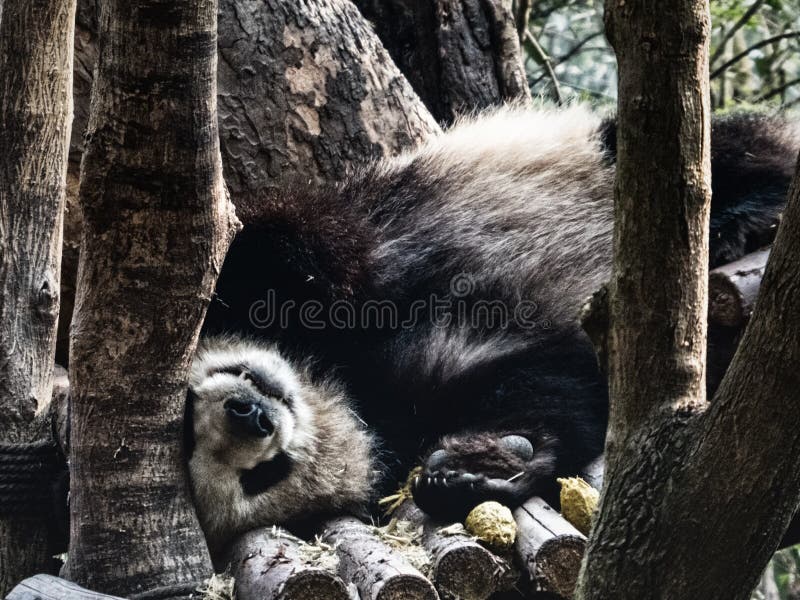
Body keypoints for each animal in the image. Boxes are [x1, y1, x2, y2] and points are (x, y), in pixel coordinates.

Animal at [200, 105, 797, 523]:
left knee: (720, 152)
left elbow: (289, 247)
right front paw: (484, 467)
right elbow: (555, 392)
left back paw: (741, 218)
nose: (250, 415)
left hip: (613, 157)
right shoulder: (417, 403)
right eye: (262, 476)